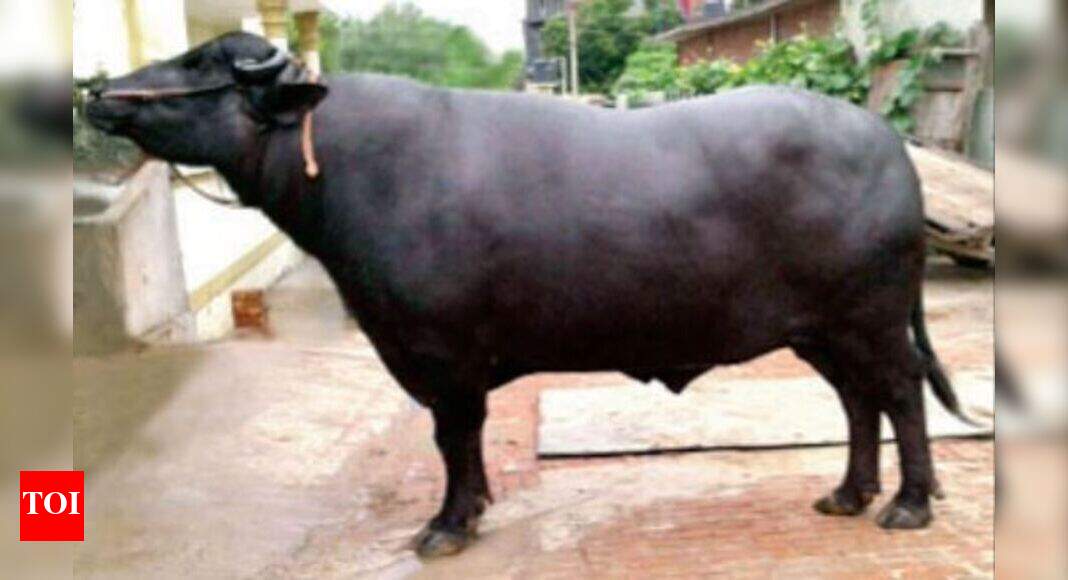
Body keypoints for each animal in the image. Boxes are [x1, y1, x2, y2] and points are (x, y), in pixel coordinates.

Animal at [86, 32, 974, 557]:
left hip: (870, 319)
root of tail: (884, 141)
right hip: (819, 329)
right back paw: (848, 494)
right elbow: (465, 440)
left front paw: (447, 524)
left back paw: (908, 505)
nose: (100, 93)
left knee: (899, 393)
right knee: (858, 401)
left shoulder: (439, 352)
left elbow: (452, 436)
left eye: (200, 66)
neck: (348, 166)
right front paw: (475, 506)